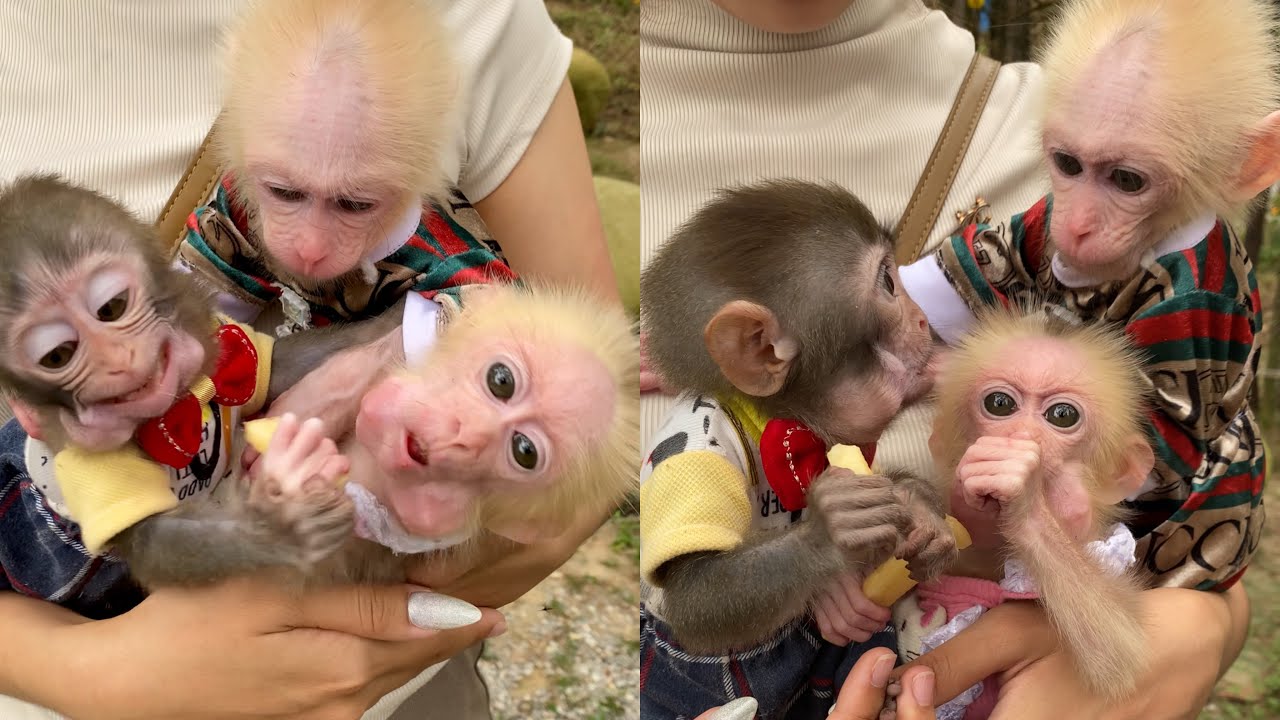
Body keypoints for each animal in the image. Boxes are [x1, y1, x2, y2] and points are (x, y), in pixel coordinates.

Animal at [637, 179, 958, 720]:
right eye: (887, 283)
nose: (922, 319)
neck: (783, 420)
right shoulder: (694, 448)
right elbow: (695, 597)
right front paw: (830, 532)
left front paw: (922, 510)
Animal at [884, 308, 1155, 718]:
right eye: (1000, 404)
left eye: (1062, 415)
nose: (1019, 435)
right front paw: (918, 509)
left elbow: (1124, 655)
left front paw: (1023, 494)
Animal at [896, 0, 1273, 594]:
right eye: (1069, 165)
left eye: (1127, 180)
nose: (1076, 226)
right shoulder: (1040, 220)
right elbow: (981, 260)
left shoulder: (1199, 306)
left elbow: (1165, 437)